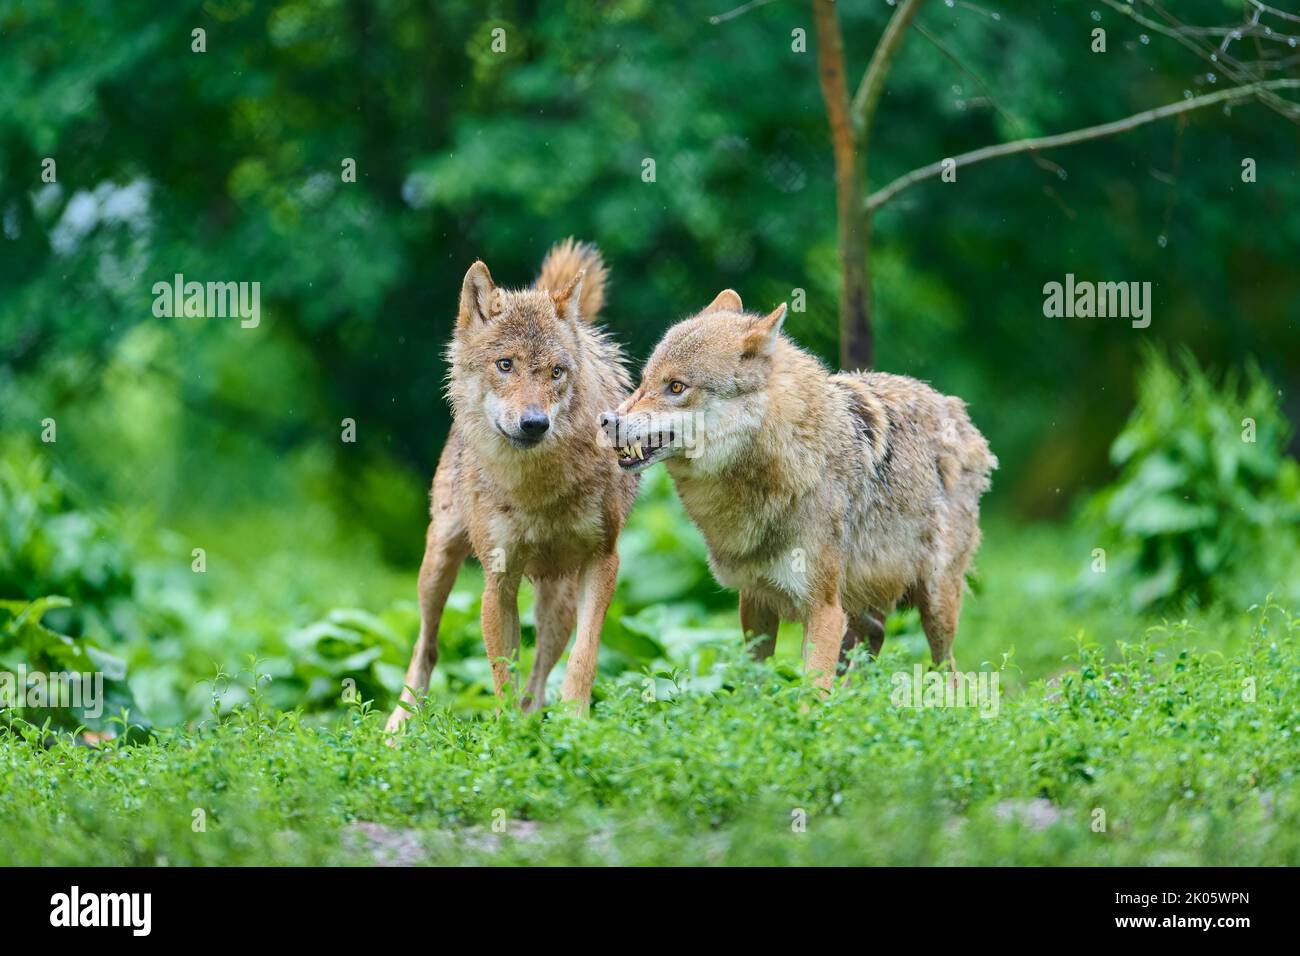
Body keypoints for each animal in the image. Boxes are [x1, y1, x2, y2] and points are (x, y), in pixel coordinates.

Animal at [386, 240, 637, 732]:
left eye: (556, 372)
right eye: (506, 365)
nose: (535, 423)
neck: (537, 487)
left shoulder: (603, 562)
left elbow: (583, 658)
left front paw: (575, 726)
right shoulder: (498, 580)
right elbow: (501, 672)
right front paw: (507, 738)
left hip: (558, 600)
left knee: (539, 675)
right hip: (436, 565)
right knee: (426, 645)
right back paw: (396, 729)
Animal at [602, 290, 997, 689]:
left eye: (677, 387)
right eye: (643, 381)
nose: (607, 420)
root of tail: (955, 409)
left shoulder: (824, 609)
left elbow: (810, 692)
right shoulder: (755, 600)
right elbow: (753, 683)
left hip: (935, 604)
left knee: (947, 666)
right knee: (874, 641)